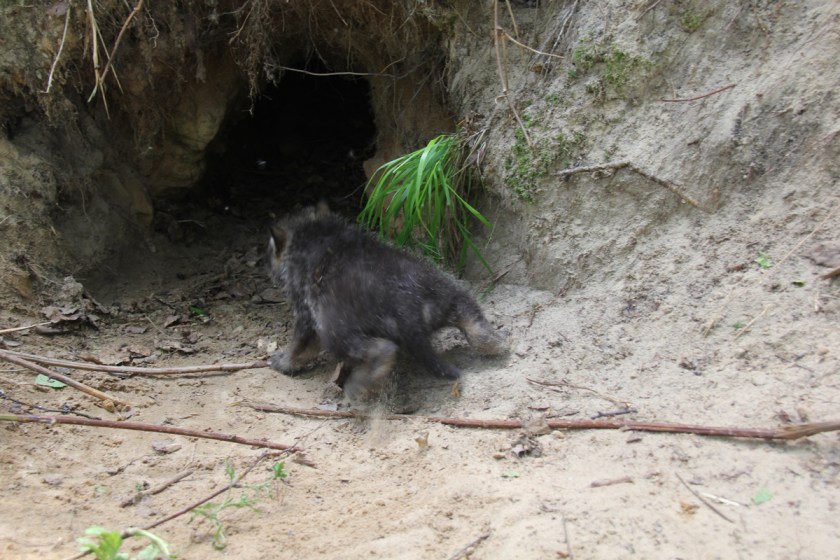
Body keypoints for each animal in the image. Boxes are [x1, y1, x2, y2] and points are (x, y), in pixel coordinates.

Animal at [267, 203, 507, 401]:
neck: (316, 234)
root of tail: (407, 308)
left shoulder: (305, 313)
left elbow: (299, 346)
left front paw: (283, 362)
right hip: (448, 288)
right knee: (472, 319)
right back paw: (497, 343)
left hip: (334, 330)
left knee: (382, 351)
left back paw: (358, 385)